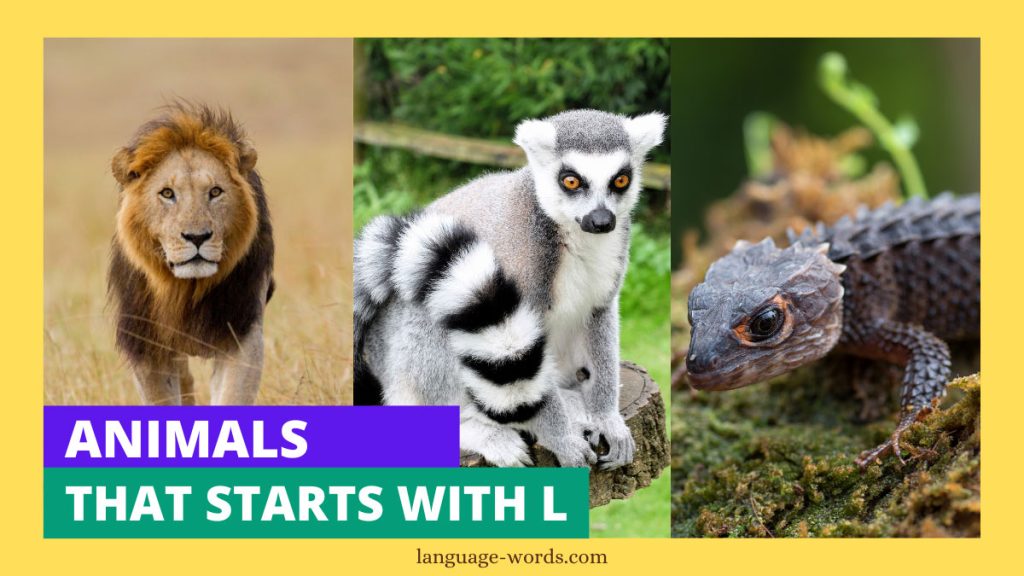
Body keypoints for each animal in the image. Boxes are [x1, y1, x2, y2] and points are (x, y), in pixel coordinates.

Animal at [107, 103, 275, 405]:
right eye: (167, 193)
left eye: (216, 191)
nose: (197, 237)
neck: (184, 290)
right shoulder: (146, 344)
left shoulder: (241, 331)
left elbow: (232, 395)